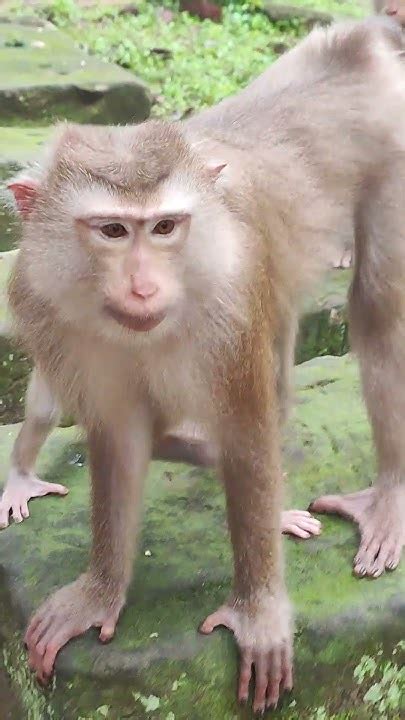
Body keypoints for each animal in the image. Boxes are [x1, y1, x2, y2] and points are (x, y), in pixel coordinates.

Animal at [6, 17, 405, 712]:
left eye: (165, 227)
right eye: (113, 231)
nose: (143, 288)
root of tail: (355, 44)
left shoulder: (232, 298)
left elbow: (246, 431)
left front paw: (259, 614)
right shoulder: (45, 310)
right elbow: (119, 435)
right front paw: (100, 592)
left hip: (393, 149)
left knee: (376, 309)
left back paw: (386, 497)